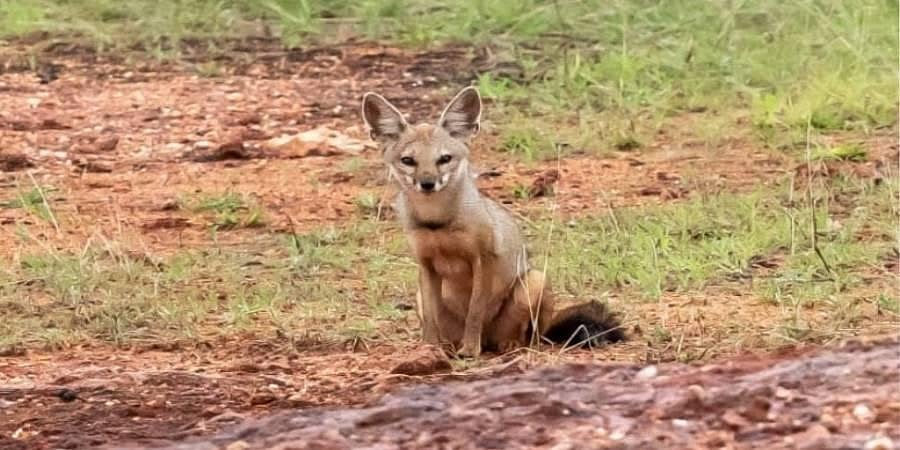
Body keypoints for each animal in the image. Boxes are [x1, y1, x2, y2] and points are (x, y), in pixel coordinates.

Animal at [361, 86, 624, 358]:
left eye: (444, 159)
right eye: (408, 161)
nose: (427, 183)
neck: (438, 222)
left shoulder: (483, 260)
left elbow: (475, 312)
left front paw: (469, 350)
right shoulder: (426, 265)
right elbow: (432, 320)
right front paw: (429, 348)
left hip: (534, 283)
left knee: (532, 338)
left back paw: (507, 345)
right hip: (421, 296)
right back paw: (451, 346)